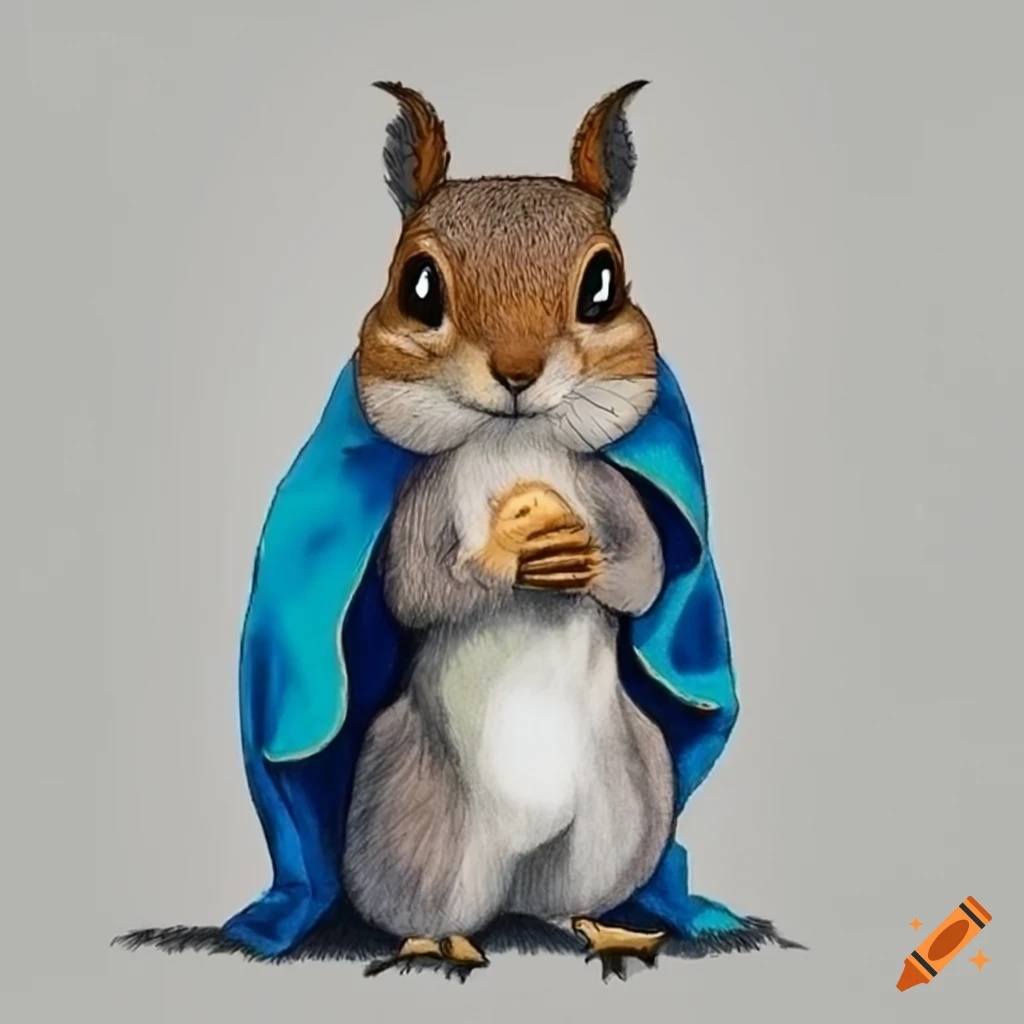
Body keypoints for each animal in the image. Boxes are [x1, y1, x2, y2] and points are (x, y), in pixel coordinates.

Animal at [342, 81, 674, 975]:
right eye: (417, 286)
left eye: (604, 284)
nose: (519, 373)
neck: (512, 444)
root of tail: (516, 881)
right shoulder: (423, 500)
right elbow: (417, 586)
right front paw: (508, 553)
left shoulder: (604, 486)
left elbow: (647, 567)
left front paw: (587, 565)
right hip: (410, 819)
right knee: (431, 902)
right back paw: (437, 941)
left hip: (627, 811)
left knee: (569, 899)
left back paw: (603, 927)